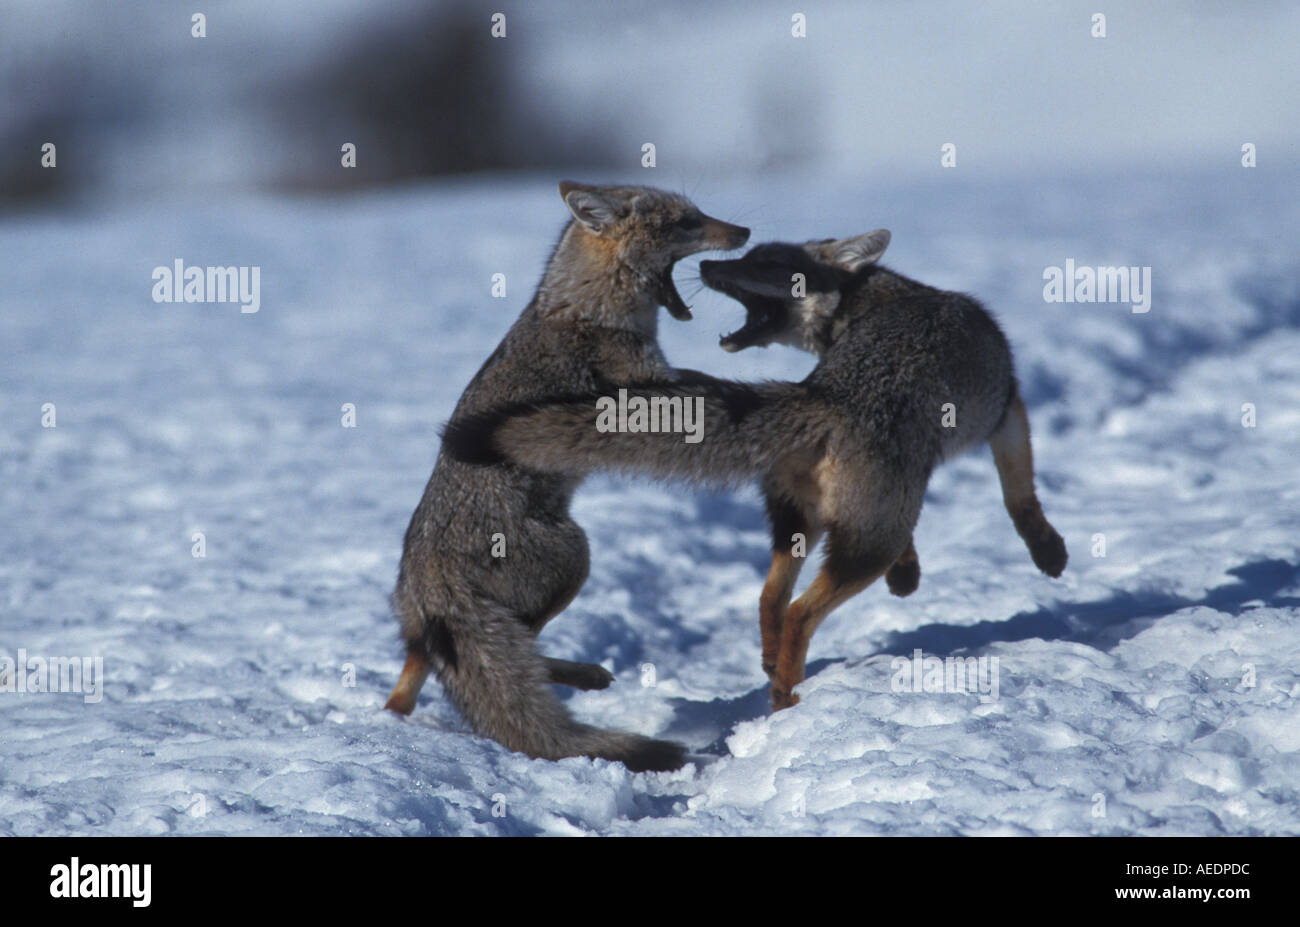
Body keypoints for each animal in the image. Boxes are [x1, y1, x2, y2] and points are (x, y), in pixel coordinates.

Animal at [385, 181, 749, 770]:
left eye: (699, 213)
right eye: (686, 223)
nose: (743, 232)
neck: (589, 307)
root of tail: (429, 576)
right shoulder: (652, 387)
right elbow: (705, 382)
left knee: (428, 678)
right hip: (576, 557)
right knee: (526, 649)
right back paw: (583, 677)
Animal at [443, 229, 1067, 710]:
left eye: (764, 262)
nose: (706, 264)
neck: (872, 306)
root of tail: (825, 393)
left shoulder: (908, 484)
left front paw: (909, 575)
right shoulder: (1007, 410)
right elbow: (1020, 496)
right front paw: (1048, 552)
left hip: (806, 528)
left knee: (769, 602)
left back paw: (773, 673)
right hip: (865, 546)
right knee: (798, 612)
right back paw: (786, 696)